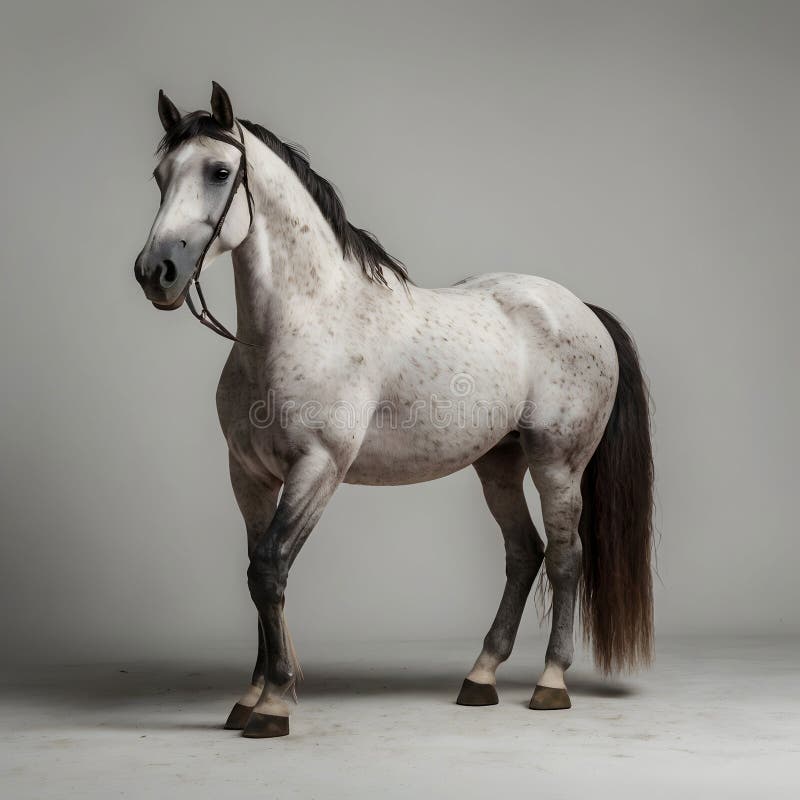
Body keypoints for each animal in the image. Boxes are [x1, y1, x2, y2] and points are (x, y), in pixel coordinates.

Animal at [134, 82, 654, 739]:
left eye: (219, 171)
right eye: (160, 176)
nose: (156, 272)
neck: (296, 324)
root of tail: (581, 309)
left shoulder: (317, 469)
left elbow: (271, 569)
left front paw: (274, 702)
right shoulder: (248, 476)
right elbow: (255, 572)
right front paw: (252, 695)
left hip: (558, 465)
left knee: (564, 559)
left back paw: (550, 682)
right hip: (498, 464)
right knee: (523, 554)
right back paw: (480, 677)